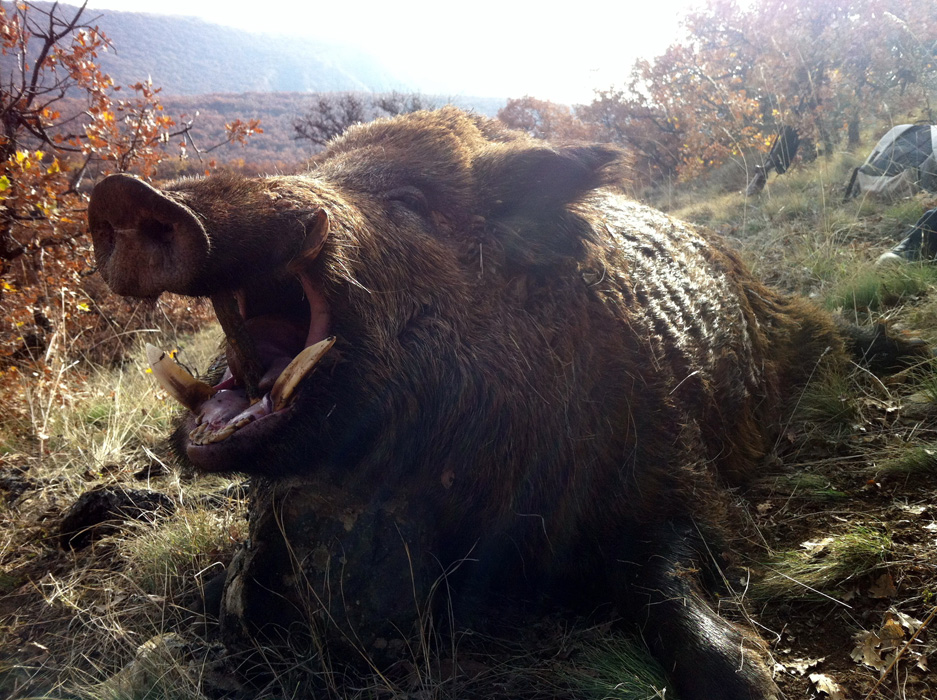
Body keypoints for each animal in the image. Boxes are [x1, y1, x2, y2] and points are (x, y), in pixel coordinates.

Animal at [89, 107, 884, 699]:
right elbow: (225, 598)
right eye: (318, 170)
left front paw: (754, 677)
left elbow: (671, 585)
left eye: (410, 202)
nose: (128, 195)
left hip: (798, 332)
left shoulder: (670, 468)